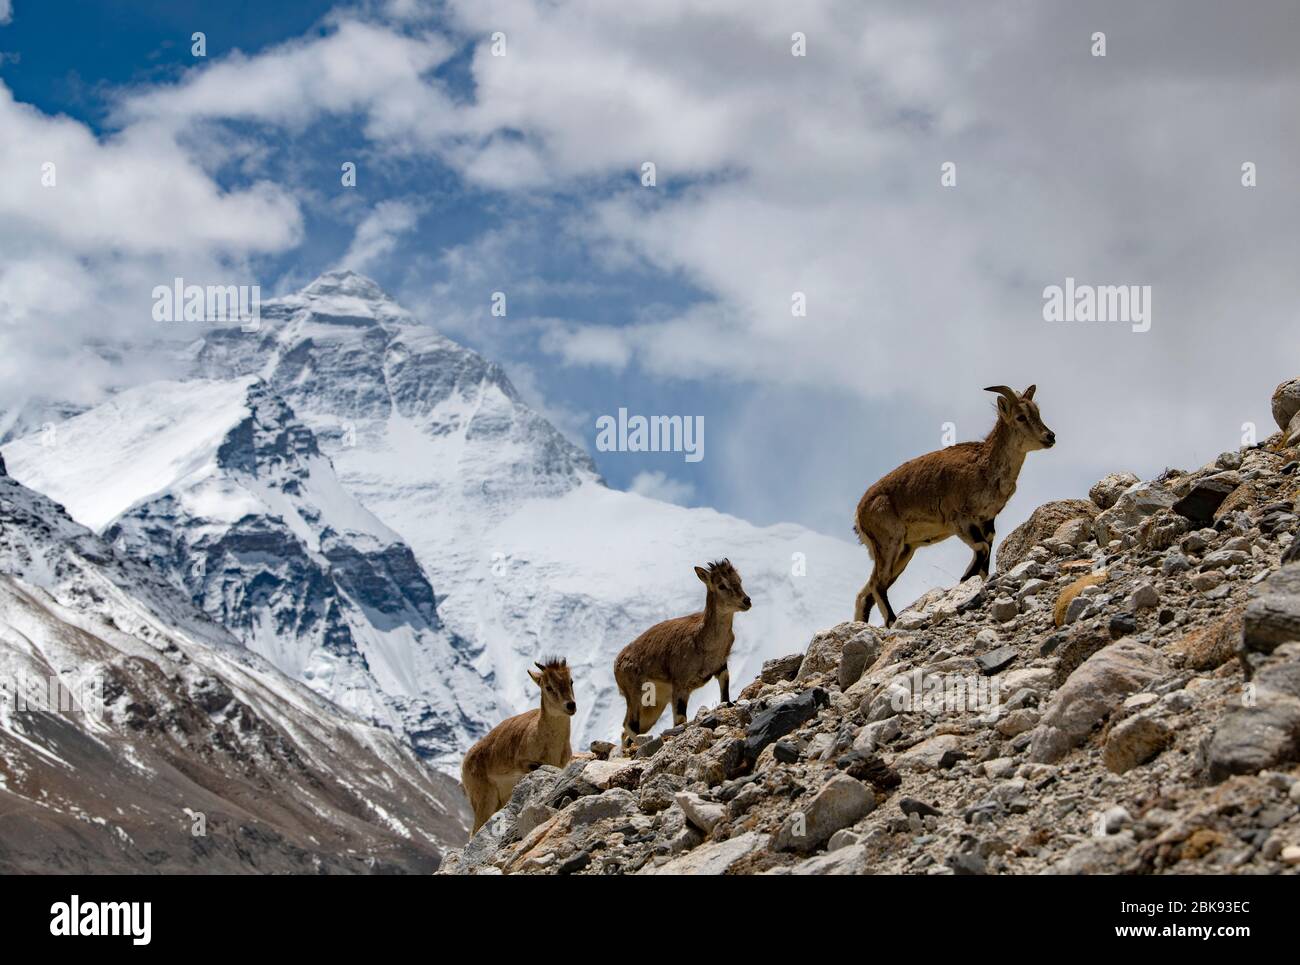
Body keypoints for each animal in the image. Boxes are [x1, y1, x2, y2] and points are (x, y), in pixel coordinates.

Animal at [460, 656, 575, 834]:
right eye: (548, 686)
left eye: (571, 681)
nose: (570, 705)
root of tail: (465, 763)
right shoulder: (522, 762)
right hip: (484, 798)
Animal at [614, 559, 751, 750]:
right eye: (721, 585)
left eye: (739, 579)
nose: (746, 601)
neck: (704, 641)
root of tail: (616, 665)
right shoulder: (680, 685)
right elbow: (680, 720)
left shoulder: (721, 668)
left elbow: (725, 698)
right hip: (635, 694)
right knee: (628, 724)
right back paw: (644, 742)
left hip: (654, 705)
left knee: (626, 730)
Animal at [853, 385, 1055, 627]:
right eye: (1020, 417)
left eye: (1037, 412)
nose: (1050, 436)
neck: (986, 468)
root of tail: (859, 514)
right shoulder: (960, 520)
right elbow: (982, 548)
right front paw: (964, 578)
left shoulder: (987, 521)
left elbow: (985, 558)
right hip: (889, 543)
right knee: (876, 585)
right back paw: (892, 620)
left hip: (904, 550)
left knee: (865, 592)